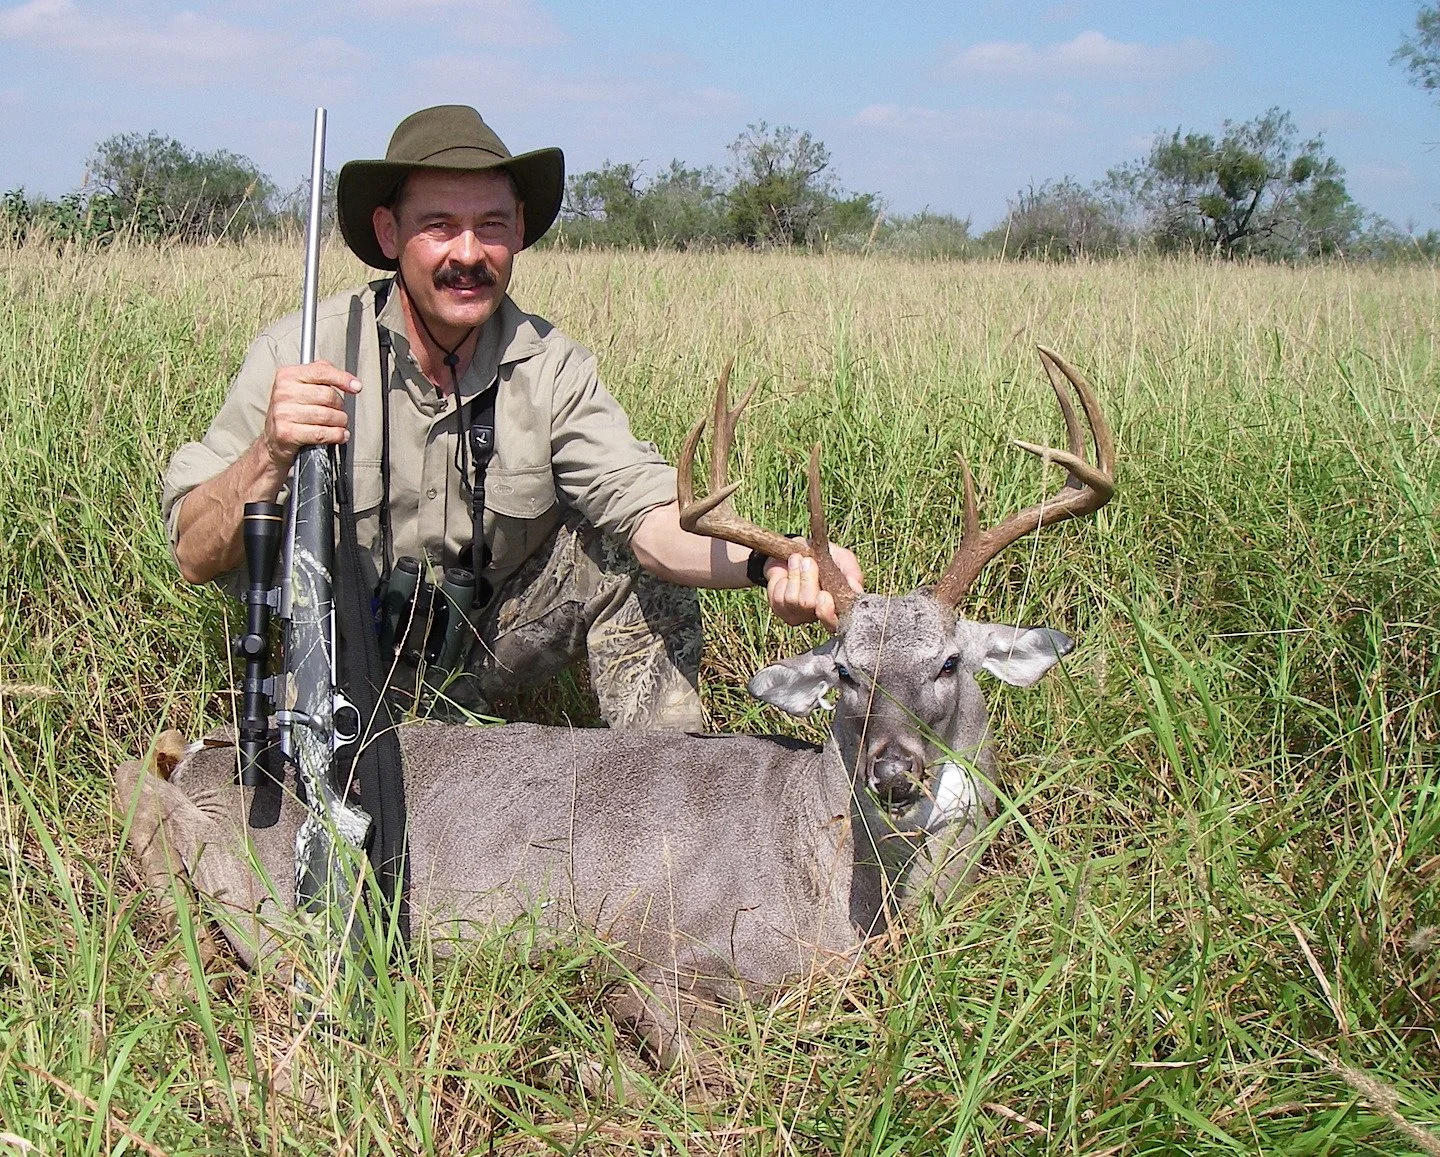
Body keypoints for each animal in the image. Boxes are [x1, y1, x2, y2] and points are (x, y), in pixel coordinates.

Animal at [115, 346, 1114, 1077]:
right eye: (845, 671)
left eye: (948, 660)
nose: (895, 769)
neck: (828, 880)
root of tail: (200, 760)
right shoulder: (651, 952)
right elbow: (709, 1067)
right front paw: (595, 1070)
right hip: (271, 913)